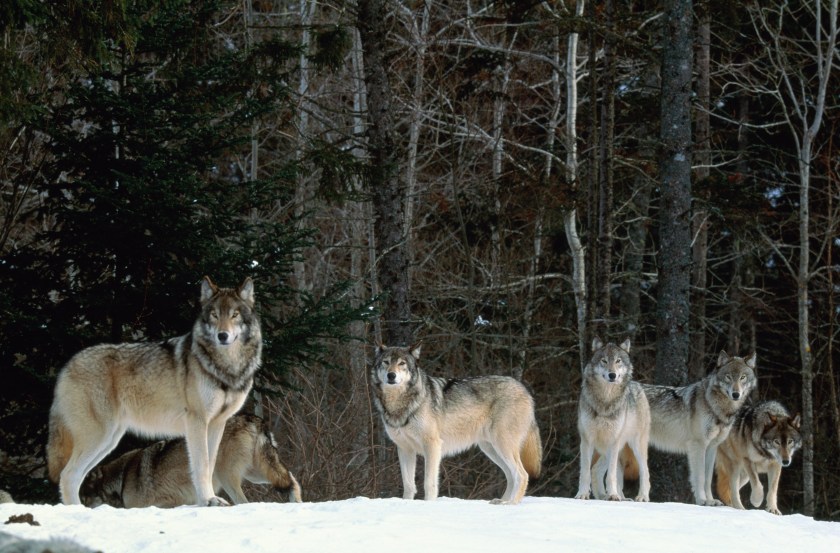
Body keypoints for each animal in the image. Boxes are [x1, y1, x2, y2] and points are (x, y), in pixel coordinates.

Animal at [47, 276, 262, 507]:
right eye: (214, 315)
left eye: (234, 315)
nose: (222, 335)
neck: (225, 368)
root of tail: (67, 366)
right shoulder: (197, 421)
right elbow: (202, 466)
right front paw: (207, 500)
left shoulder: (216, 423)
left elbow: (210, 464)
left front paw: (207, 499)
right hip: (98, 437)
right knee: (68, 475)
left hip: (109, 440)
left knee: (76, 475)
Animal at [80, 414, 302, 508]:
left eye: (84, 498)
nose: (80, 507)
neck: (122, 478)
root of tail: (254, 419)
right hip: (257, 474)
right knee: (292, 479)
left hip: (227, 476)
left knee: (243, 502)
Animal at [371, 344, 542, 504]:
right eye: (386, 362)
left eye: (402, 363)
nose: (391, 375)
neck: (400, 404)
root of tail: (525, 390)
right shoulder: (405, 449)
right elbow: (408, 484)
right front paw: (406, 503)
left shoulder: (432, 445)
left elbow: (429, 483)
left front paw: (428, 504)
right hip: (491, 449)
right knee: (510, 475)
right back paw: (501, 501)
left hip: (502, 445)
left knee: (522, 474)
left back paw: (511, 503)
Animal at [575, 337, 650, 502]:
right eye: (604, 361)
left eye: (618, 361)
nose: (612, 375)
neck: (605, 400)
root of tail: (638, 385)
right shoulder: (587, 440)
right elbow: (585, 472)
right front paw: (582, 494)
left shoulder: (613, 441)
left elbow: (611, 475)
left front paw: (613, 495)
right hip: (608, 449)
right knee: (596, 470)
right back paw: (607, 496)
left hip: (635, 446)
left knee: (644, 471)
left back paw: (640, 497)